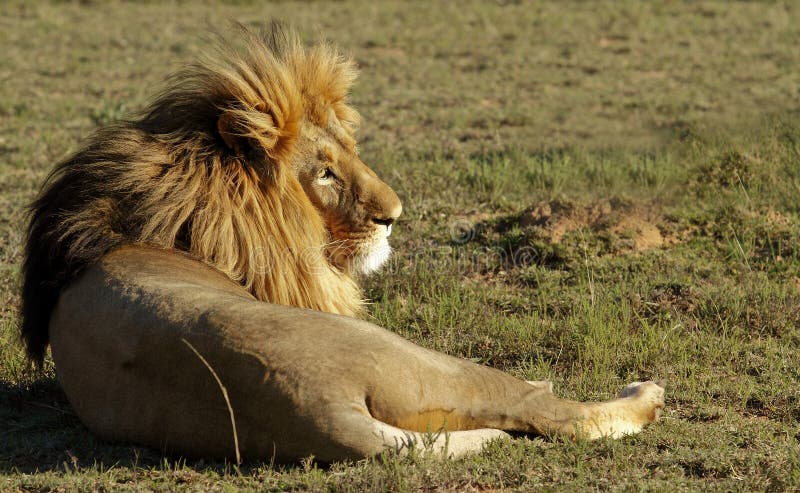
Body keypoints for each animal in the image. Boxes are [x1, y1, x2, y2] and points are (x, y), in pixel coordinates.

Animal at [21, 26, 664, 462]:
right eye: (325, 174)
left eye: (351, 154)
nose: (393, 217)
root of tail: (320, 406)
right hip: (420, 360)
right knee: (547, 409)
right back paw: (642, 393)